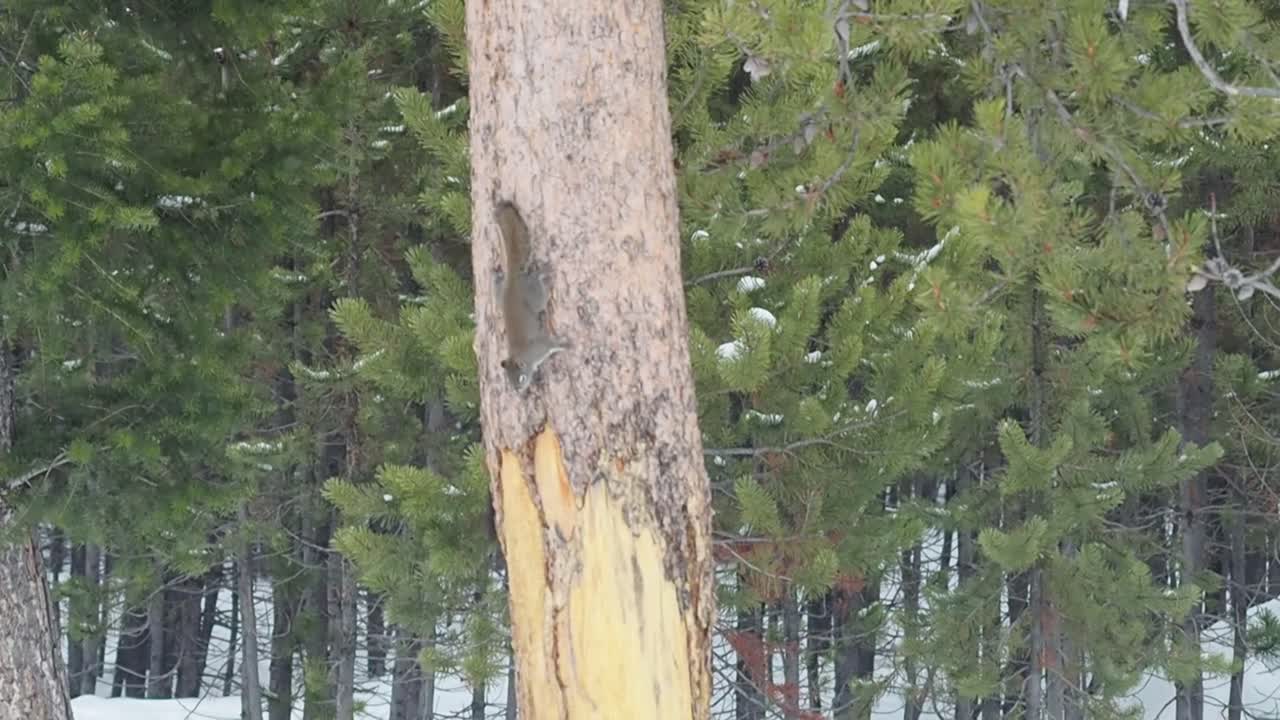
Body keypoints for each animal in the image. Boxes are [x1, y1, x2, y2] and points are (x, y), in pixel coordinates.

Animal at [494, 201, 571, 391]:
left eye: (521, 378)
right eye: (509, 380)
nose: (519, 391)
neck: (521, 356)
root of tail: (513, 282)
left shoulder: (540, 347)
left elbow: (552, 345)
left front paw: (566, 345)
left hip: (534, 296)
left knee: (540, 293)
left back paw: (544, 274)